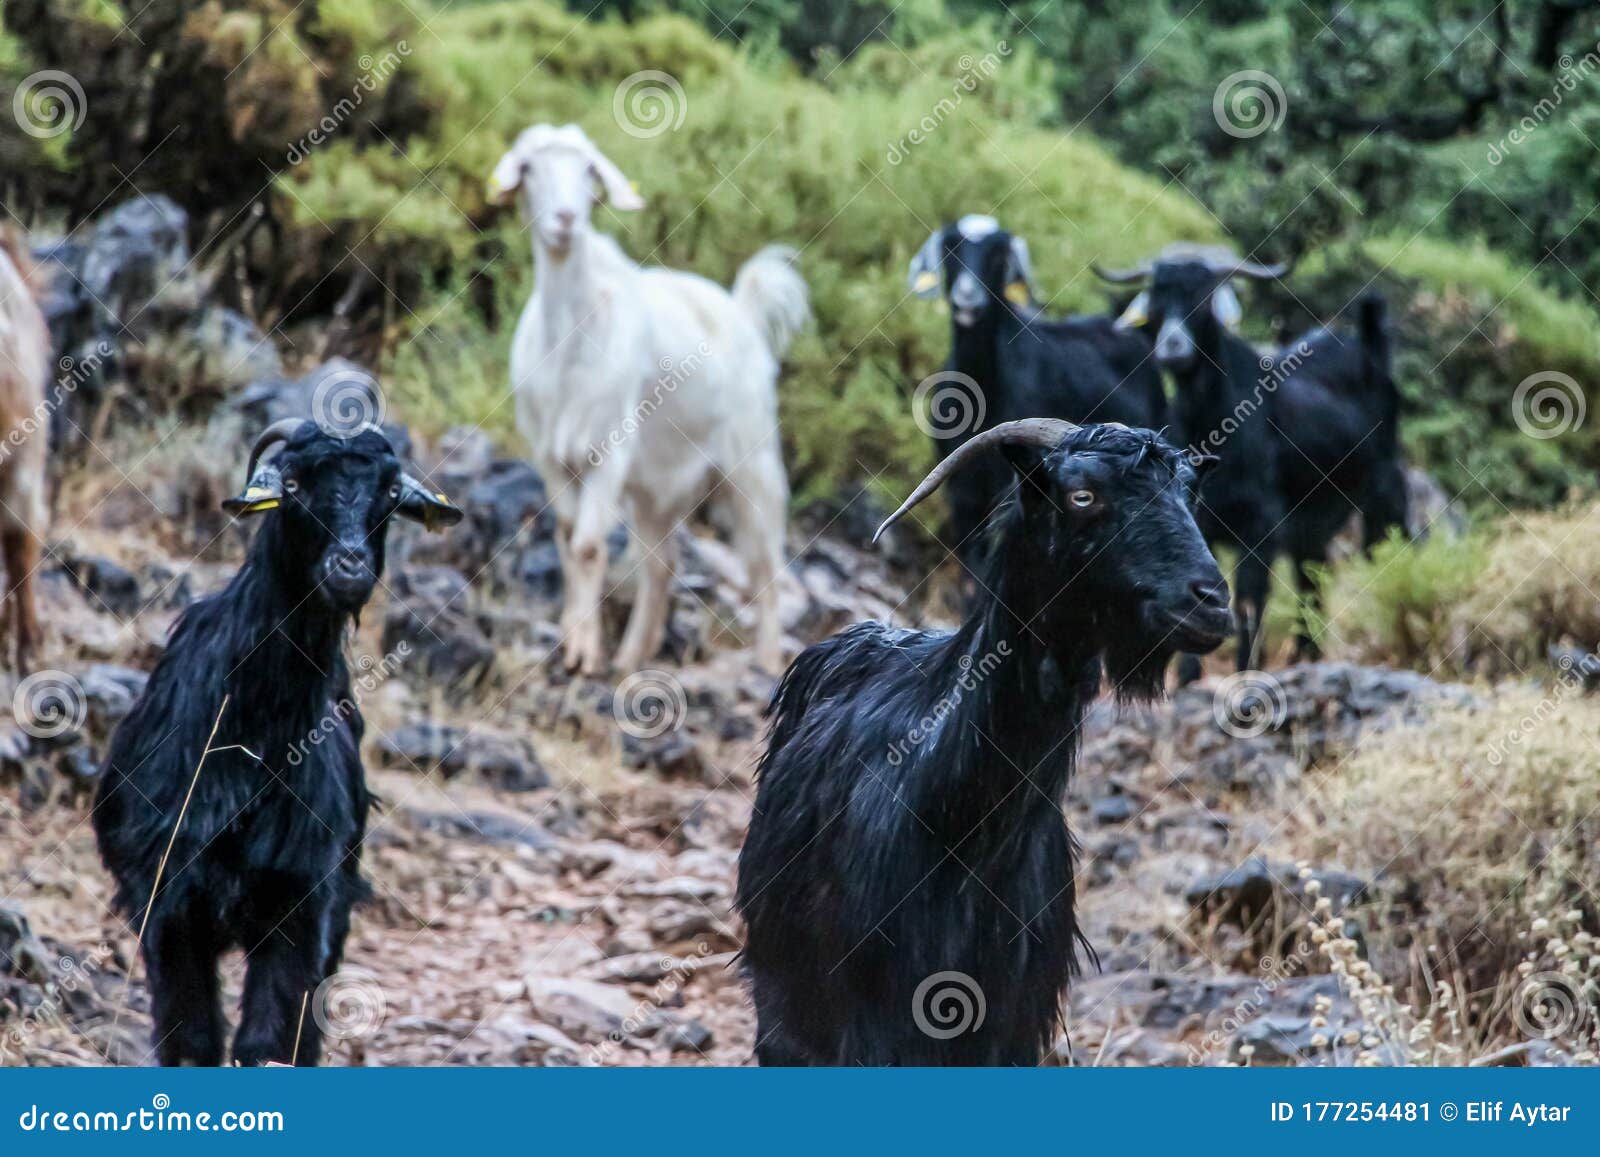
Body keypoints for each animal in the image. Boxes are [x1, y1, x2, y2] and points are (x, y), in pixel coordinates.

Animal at [92, 419, 461, 1066]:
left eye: (392, 492)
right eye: (292, 484)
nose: (349, 568)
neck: (252, 742)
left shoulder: (301, 901)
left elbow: (269, 1040)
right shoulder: (169, 904)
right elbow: (191, 1042)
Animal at [491, 123, 809, 676]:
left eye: (589, 170)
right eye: (528, 167)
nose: (566, 219)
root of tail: (742, 309)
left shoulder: (609, 449)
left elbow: (589, 546)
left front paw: (582, 653)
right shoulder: (550, 454)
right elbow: (567, 536)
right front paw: (572, 638)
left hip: (752, 463)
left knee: (766, 567)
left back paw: (768, 663)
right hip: (659, 486)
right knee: (661, 564)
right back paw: (631, 657)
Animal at [736, 419, 1230, 1065]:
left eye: (1191, 493)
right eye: (1082, 496)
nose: (1210, 601)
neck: (961, 828)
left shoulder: (1012, 1019)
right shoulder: (874, 1020)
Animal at [1096, 246, 1407, 679]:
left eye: (1204, 298)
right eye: (1156, 298)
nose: (1172, 348)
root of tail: (1367, 347)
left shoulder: (1261, 522)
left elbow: (1248, 597)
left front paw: (1246, 668)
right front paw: (1188, 676)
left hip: (1382, 485)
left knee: (1380, 542)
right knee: (1312, 571)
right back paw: (1305, 655)